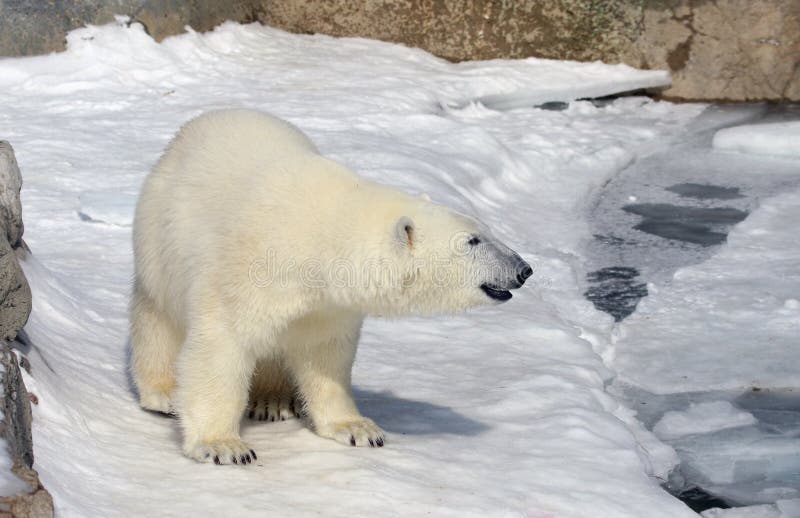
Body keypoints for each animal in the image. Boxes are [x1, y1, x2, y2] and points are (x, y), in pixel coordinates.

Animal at [130, 109, 532, 464]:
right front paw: (222, 445)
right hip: (160, 235)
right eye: (472, 241)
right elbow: (222, 344)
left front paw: (357, 428)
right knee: (158, 315)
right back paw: (163, 392)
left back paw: (272, 401)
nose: (524, 269)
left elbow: (325, 354)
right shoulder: (247, 269)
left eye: (485, 230)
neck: (317, 238)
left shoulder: (327, 304)